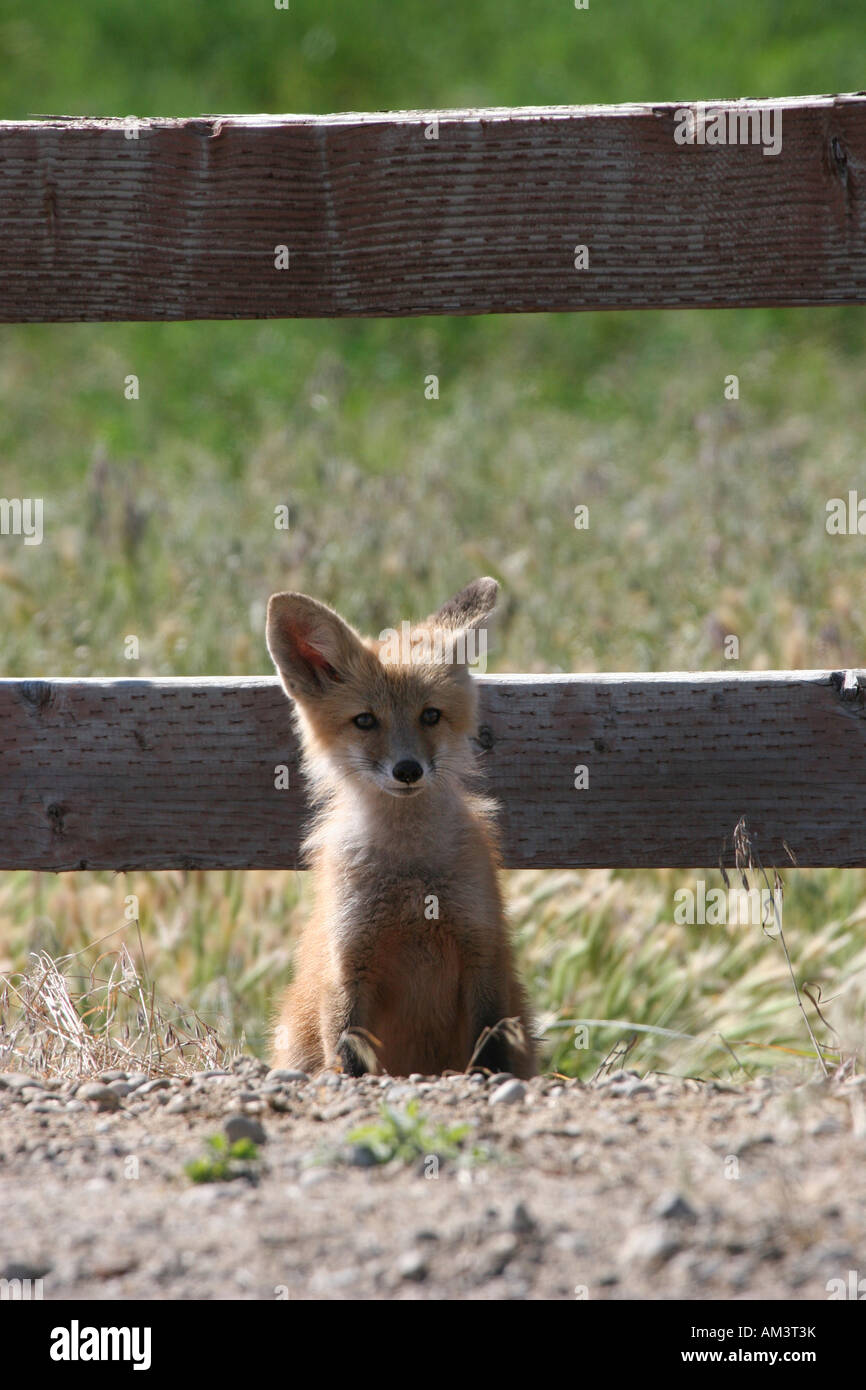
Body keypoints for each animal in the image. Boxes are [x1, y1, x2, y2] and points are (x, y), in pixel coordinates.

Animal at [265, 576, 536, 1079]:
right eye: (365, 720)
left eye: (430, 715)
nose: (407, 770)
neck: (412, 880)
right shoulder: (348, 965)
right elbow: (349, 1054)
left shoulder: (483, 953)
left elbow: (491, 1051)